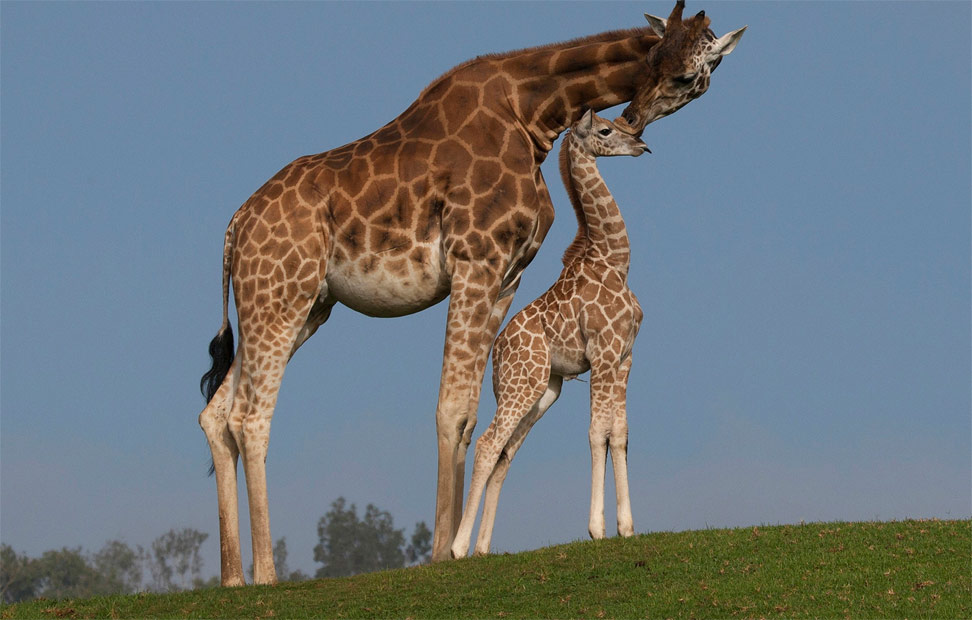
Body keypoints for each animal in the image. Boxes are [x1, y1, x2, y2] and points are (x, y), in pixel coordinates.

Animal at [451, 111, 648, 559]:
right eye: (606, 130)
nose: (643, 146)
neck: (615, 260)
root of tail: (496, 355)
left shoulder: (625, 357)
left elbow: (621, 434)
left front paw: (628, 527)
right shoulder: (603, 354)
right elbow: (598, 433)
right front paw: (597, 529)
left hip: (544, 389)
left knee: (506, 454)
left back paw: (483, 549)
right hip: (522, 385)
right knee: (488, 444)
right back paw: (457, 549)